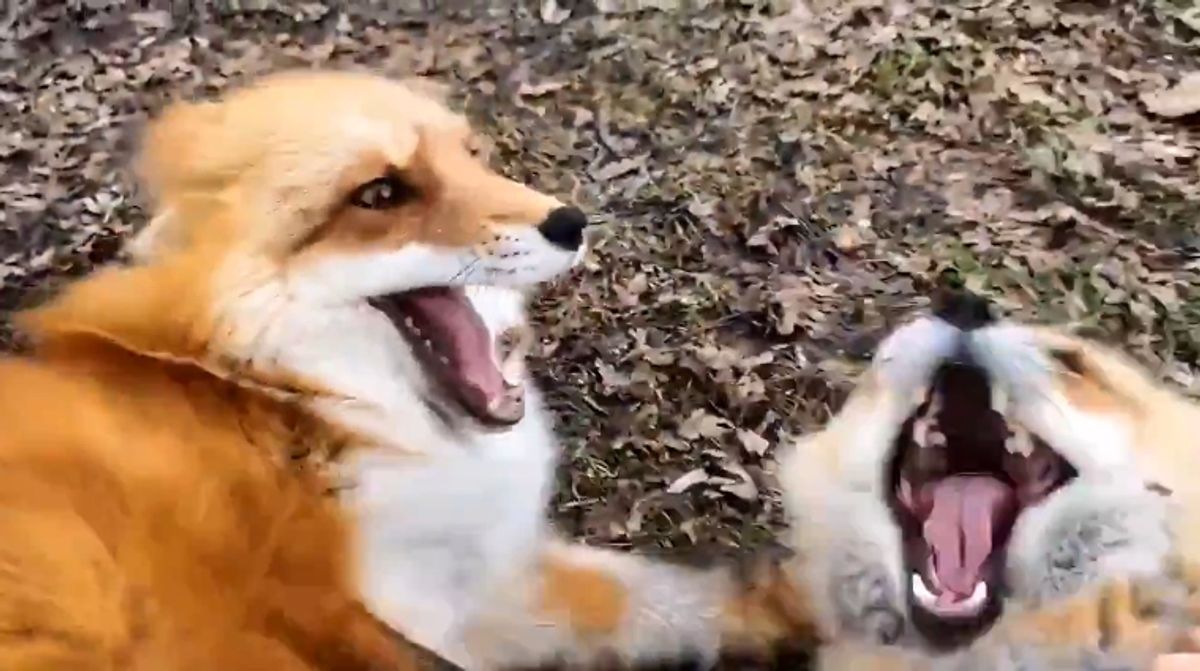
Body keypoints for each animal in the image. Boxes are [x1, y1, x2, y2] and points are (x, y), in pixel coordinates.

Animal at [0, 68, 811, 671]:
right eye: (381, 193)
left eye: (472, 155)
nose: (570, 221)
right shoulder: (365, 614)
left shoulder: (480, 580)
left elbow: (670, 598)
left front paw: (792, 608)